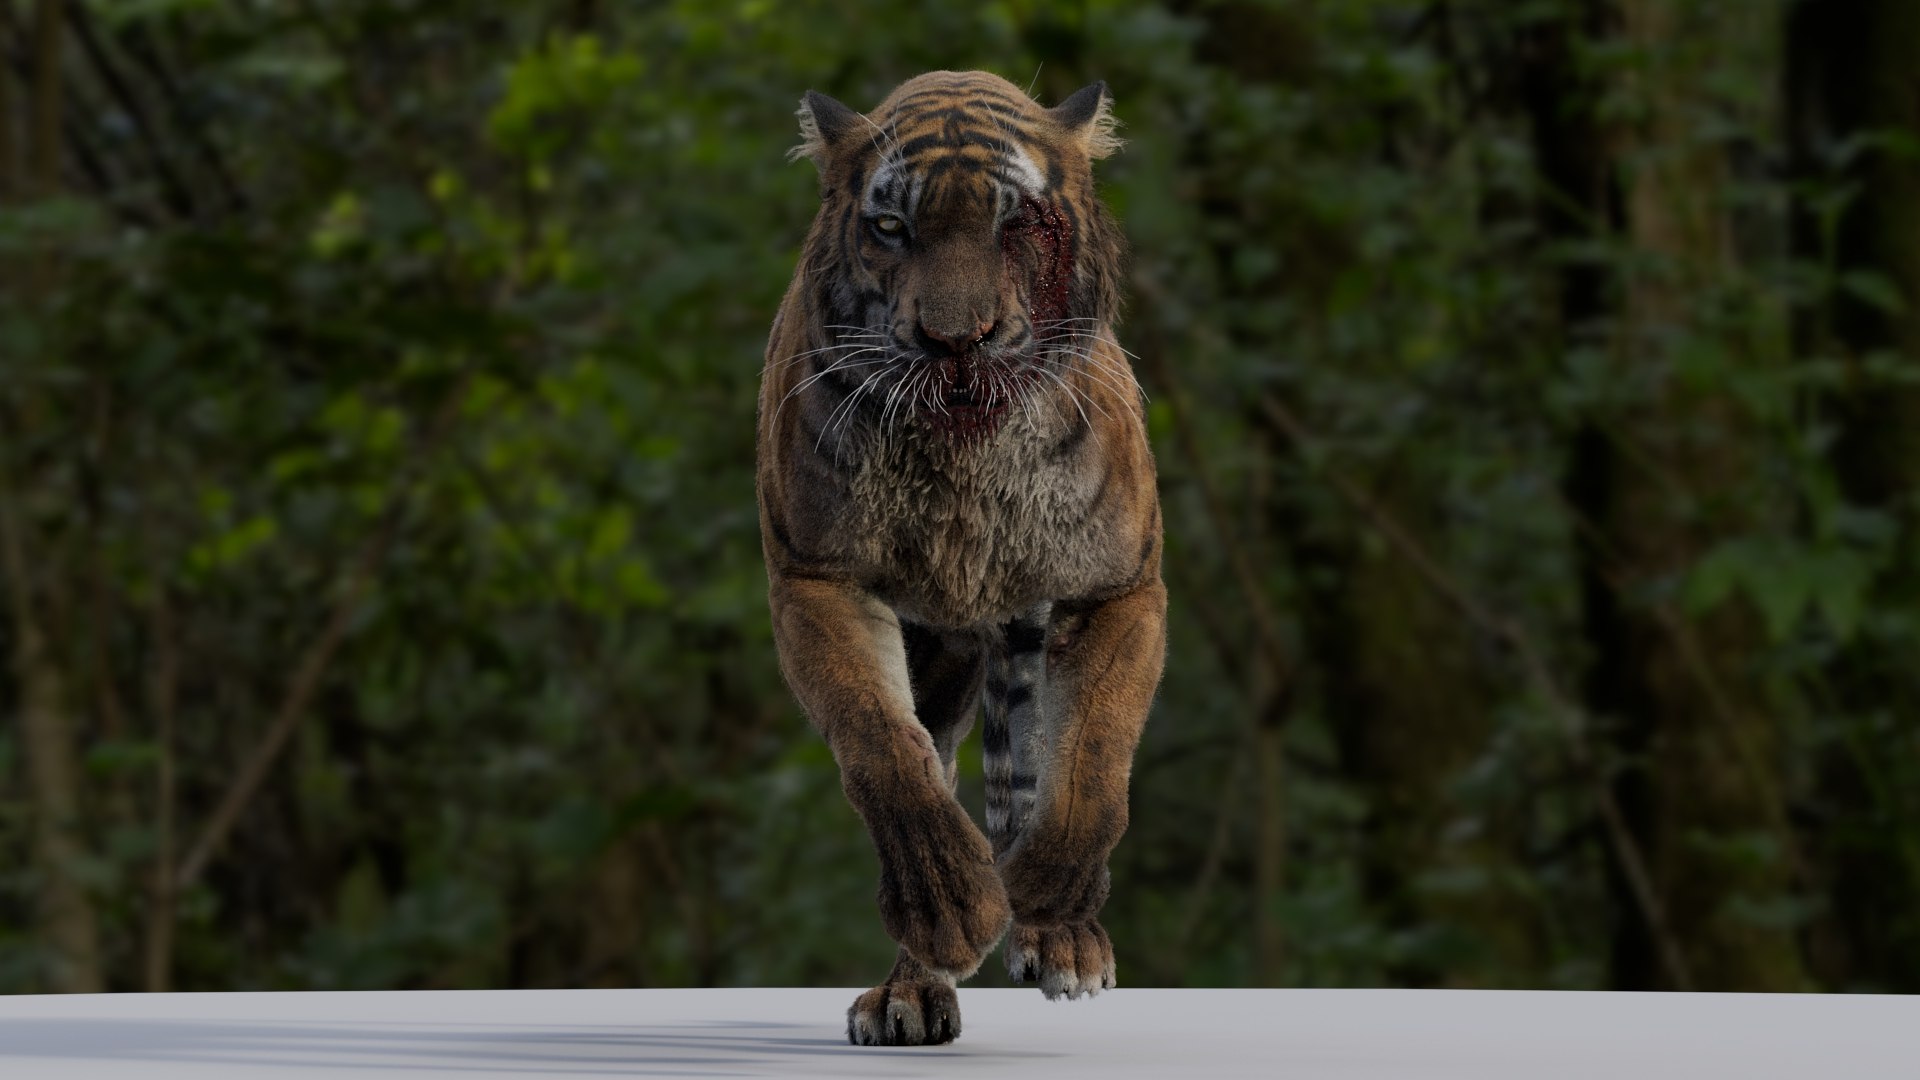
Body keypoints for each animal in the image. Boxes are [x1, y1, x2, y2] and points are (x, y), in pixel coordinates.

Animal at [755, 70, 1166, 1047]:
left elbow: (1093, 758)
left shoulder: (1120, 588)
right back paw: (912, 988)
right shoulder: (818, 579)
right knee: (932, 756)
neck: (966, 468)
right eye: (890, 226)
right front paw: (947, 905)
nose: (956, 340)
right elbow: (883, 748)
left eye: (1015, 225)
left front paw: (1052, 903)